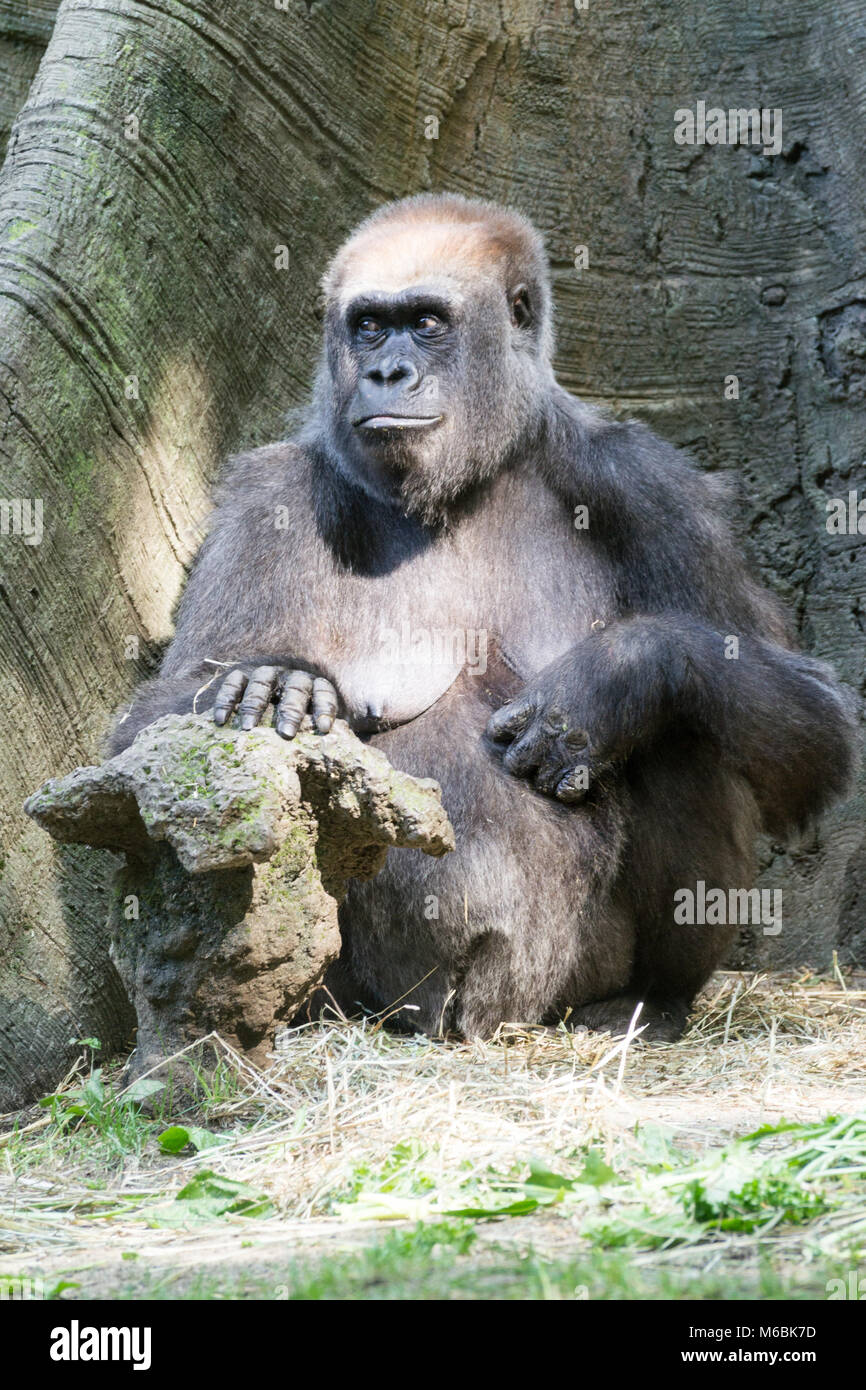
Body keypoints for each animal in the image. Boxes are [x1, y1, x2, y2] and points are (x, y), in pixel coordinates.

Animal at [109, 193, 858, 1042]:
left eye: (427, 322)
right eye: (369, 326)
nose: (386, 372)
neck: (478, 472)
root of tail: (487, 1023)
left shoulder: (649, 481)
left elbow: (811, 729)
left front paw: (619, 675)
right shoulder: (270, 488)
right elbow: (152, 735)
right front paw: (276, 684)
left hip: (559, 985)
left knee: (688, 726)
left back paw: (653, 997)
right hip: (386, 1005)